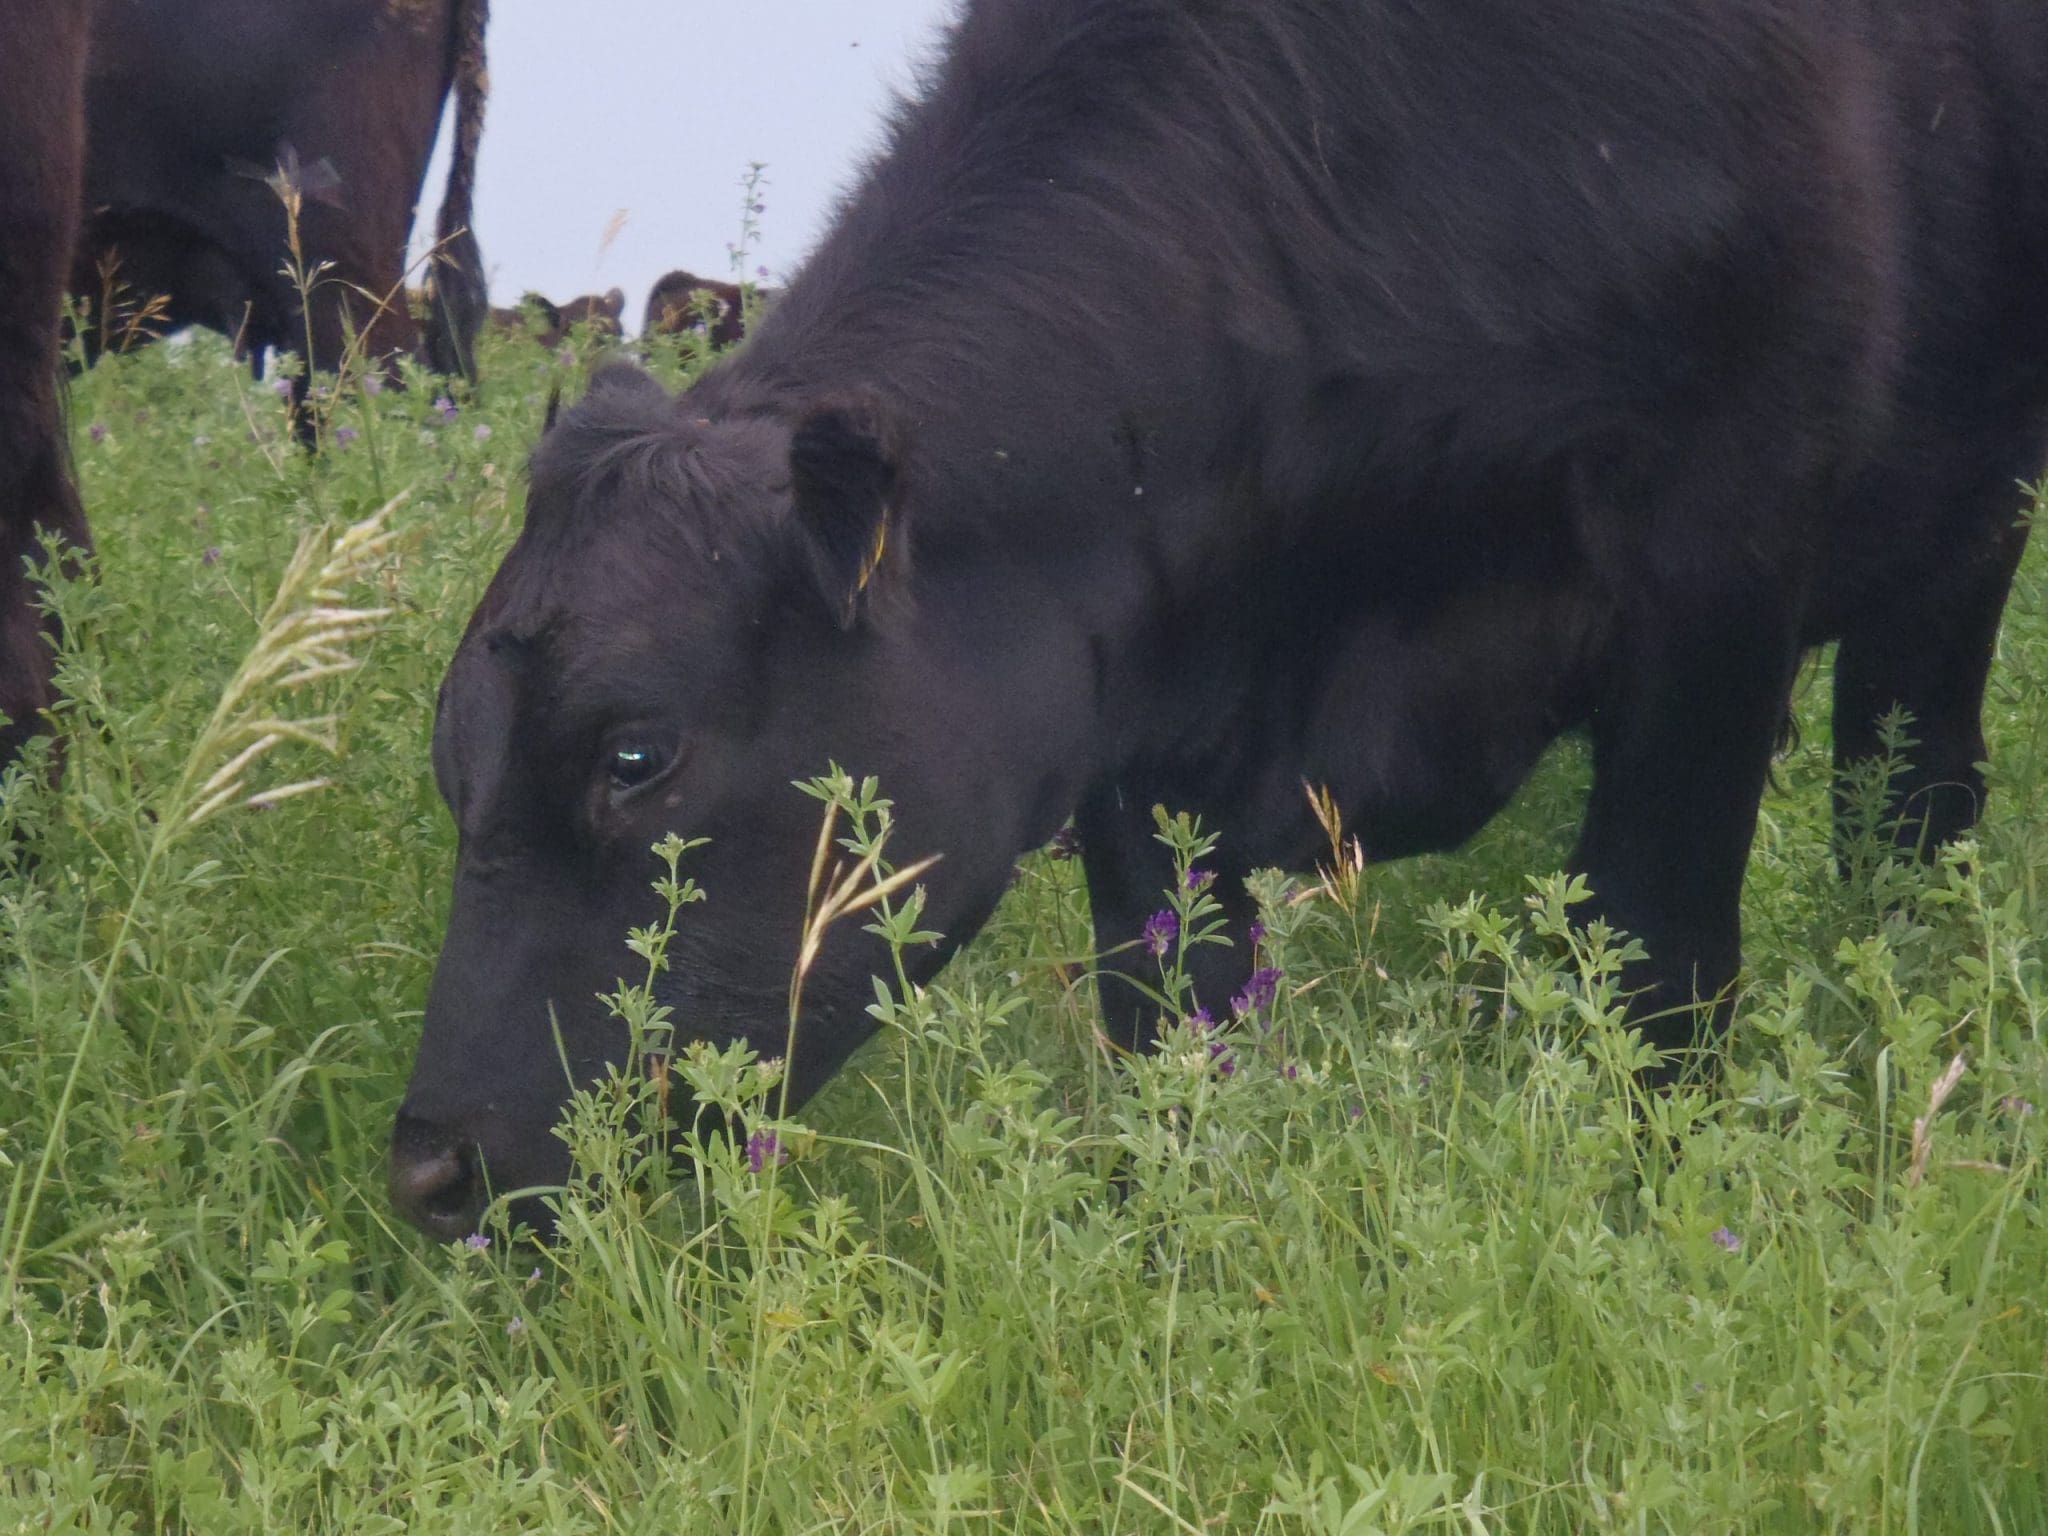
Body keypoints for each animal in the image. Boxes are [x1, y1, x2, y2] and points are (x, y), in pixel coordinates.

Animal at [392, 0, 2048, 1240]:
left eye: (635, 755)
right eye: (452, 764)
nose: (430, 1168)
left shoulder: (1717, 577)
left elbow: (1654, 970)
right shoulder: (1133, 708)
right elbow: (1174, 1023)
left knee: (1915, 774)